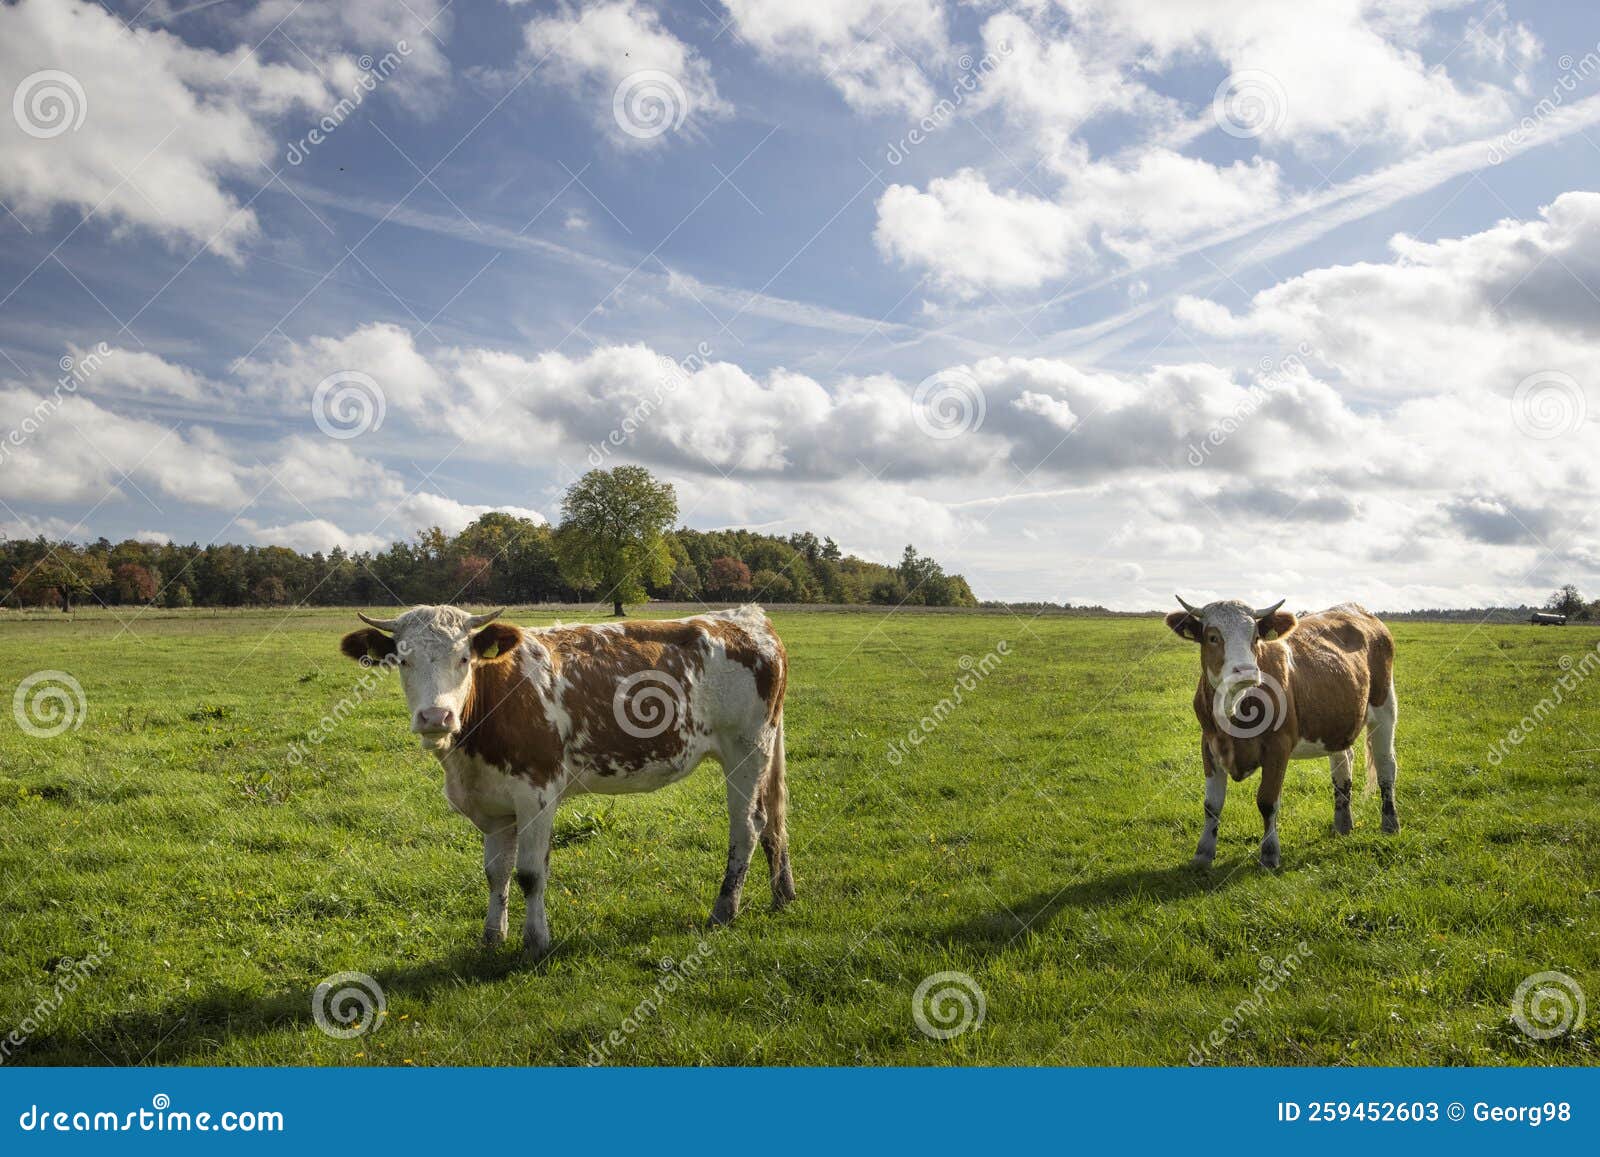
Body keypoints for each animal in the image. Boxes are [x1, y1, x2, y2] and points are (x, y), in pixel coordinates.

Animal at [339, 604, 792, 960]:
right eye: (403, 661)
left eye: (464, 659)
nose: (435, 717)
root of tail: (746, 617)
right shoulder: (494, 803)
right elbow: (495, 873)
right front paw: (492, 937)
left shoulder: (537, 793)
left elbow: (529, 873)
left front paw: (535, 943)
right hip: (765, 747)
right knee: (774, 819)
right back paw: (782, 895)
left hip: (744, 749)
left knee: (747, 826)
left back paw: (724, 910)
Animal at [1165, 597, 1400, 869]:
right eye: (1213, 637)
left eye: (1256, 637)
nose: (1247, 671)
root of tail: (1355, 609)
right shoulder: (1209, 744)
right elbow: (1211, 804)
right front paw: (1203, 853)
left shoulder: (1278, 746)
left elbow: (1267, 801)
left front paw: (1269, 854)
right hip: (1337, 721)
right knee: (1342, 765)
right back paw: (1343, 824)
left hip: (1385, 707)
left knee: (1385, 766)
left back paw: (1390, 824)